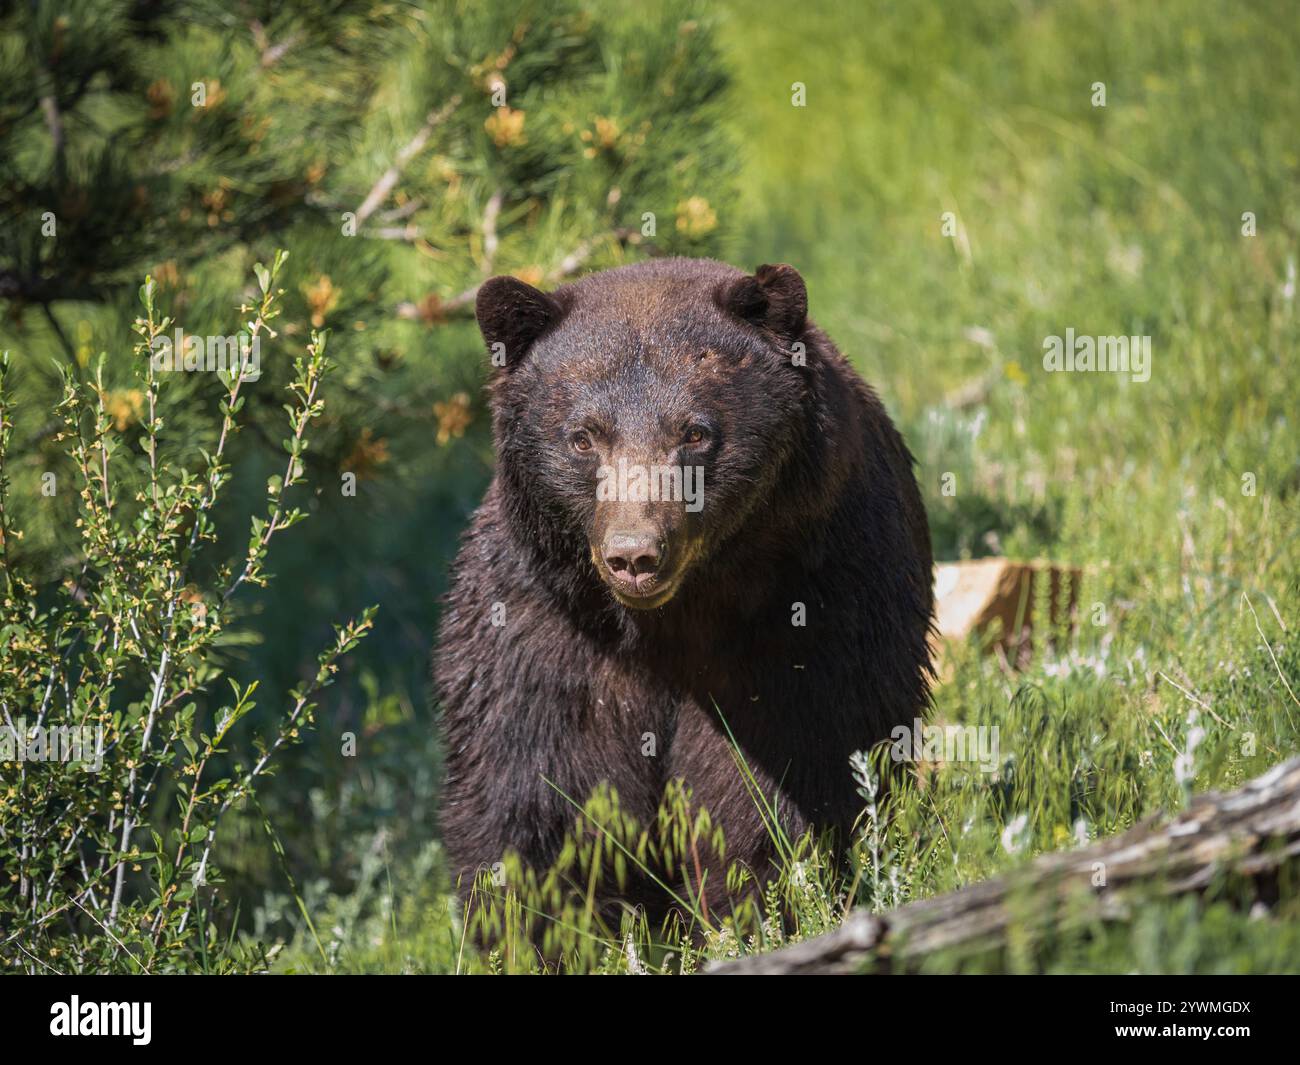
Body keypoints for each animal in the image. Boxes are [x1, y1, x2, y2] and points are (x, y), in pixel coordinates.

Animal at [434, 257, 933, 928]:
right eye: (583, 436)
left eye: (694, 433)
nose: (634, 555)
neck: (675, 619)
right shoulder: (544, 628)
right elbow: (536, 791)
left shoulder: (812, 603)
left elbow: (785, 764)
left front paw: (755, 904)